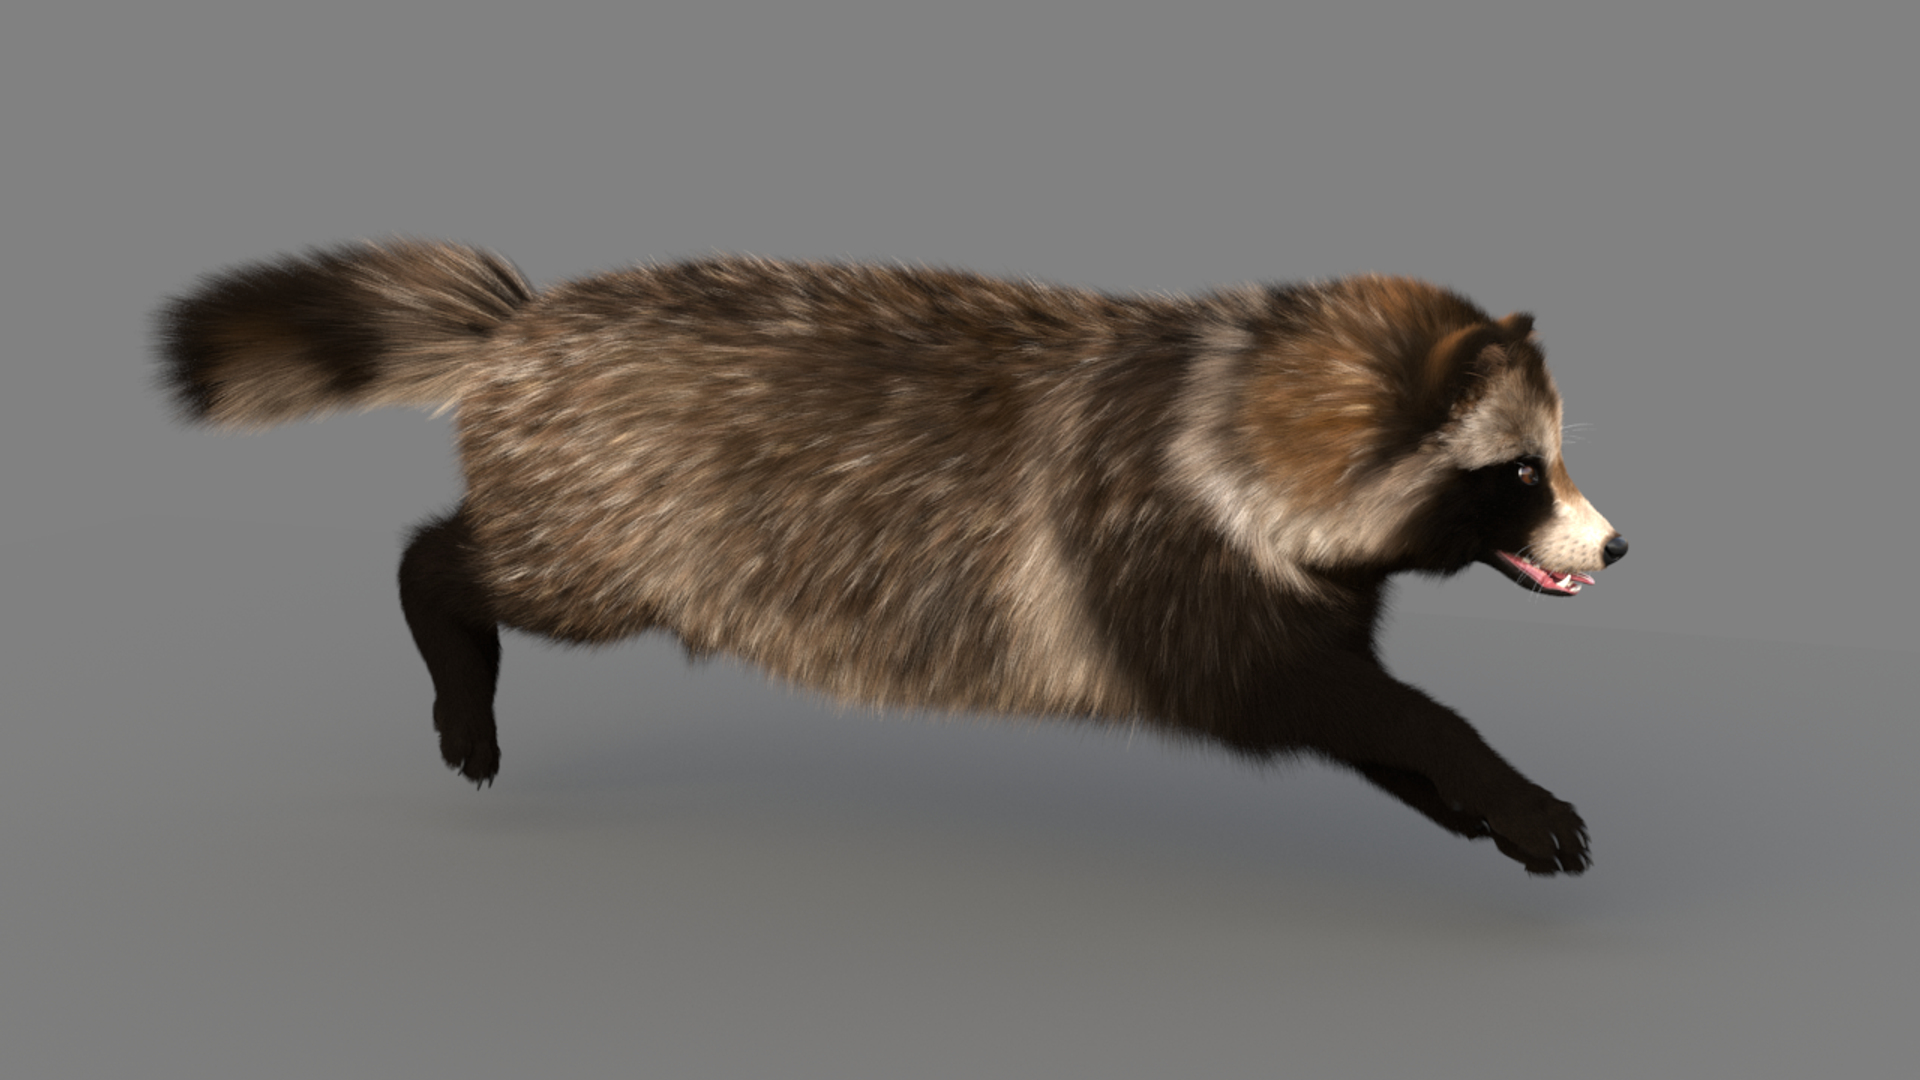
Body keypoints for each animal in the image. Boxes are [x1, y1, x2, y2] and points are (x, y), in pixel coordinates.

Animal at [156, 239, 1626, 876]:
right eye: (1518, 471)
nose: (1618, 542)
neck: (1246, 405)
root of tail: (522, 333)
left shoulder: (1282, 580)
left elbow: (1350, 701)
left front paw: (1471, 805)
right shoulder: (1168, 554)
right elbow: (1331, 701)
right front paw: (1496, 780)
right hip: (615, 518)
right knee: (472, 568)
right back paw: (454, 653)